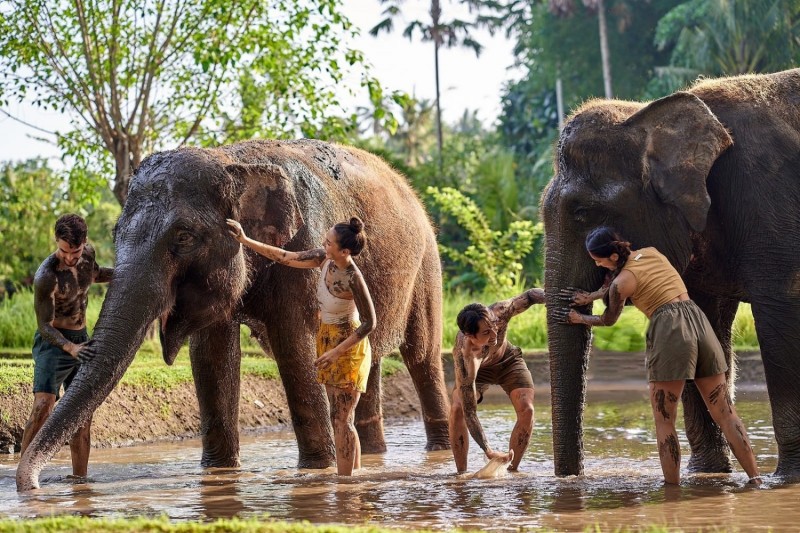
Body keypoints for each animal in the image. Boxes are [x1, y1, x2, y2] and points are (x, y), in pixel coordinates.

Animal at [17, 139, 451, 490]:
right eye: (114, 233)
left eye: (183, 236)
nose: (33, 485)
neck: (231, 159)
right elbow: (211, 356)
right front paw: (219, 472)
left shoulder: (304, 246)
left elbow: (295, 348)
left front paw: (316, 471)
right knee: (371, 361)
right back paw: (374, 456)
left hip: (428, 265)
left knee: (422, 357)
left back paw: (439, 452)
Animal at [542, 68, 800, 478]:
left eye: (582, 212)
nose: (574, 478)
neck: (646, 115)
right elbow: (707, 322)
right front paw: (708, 474)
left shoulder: (769, 197)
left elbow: (780, 312)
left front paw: (788, 477)